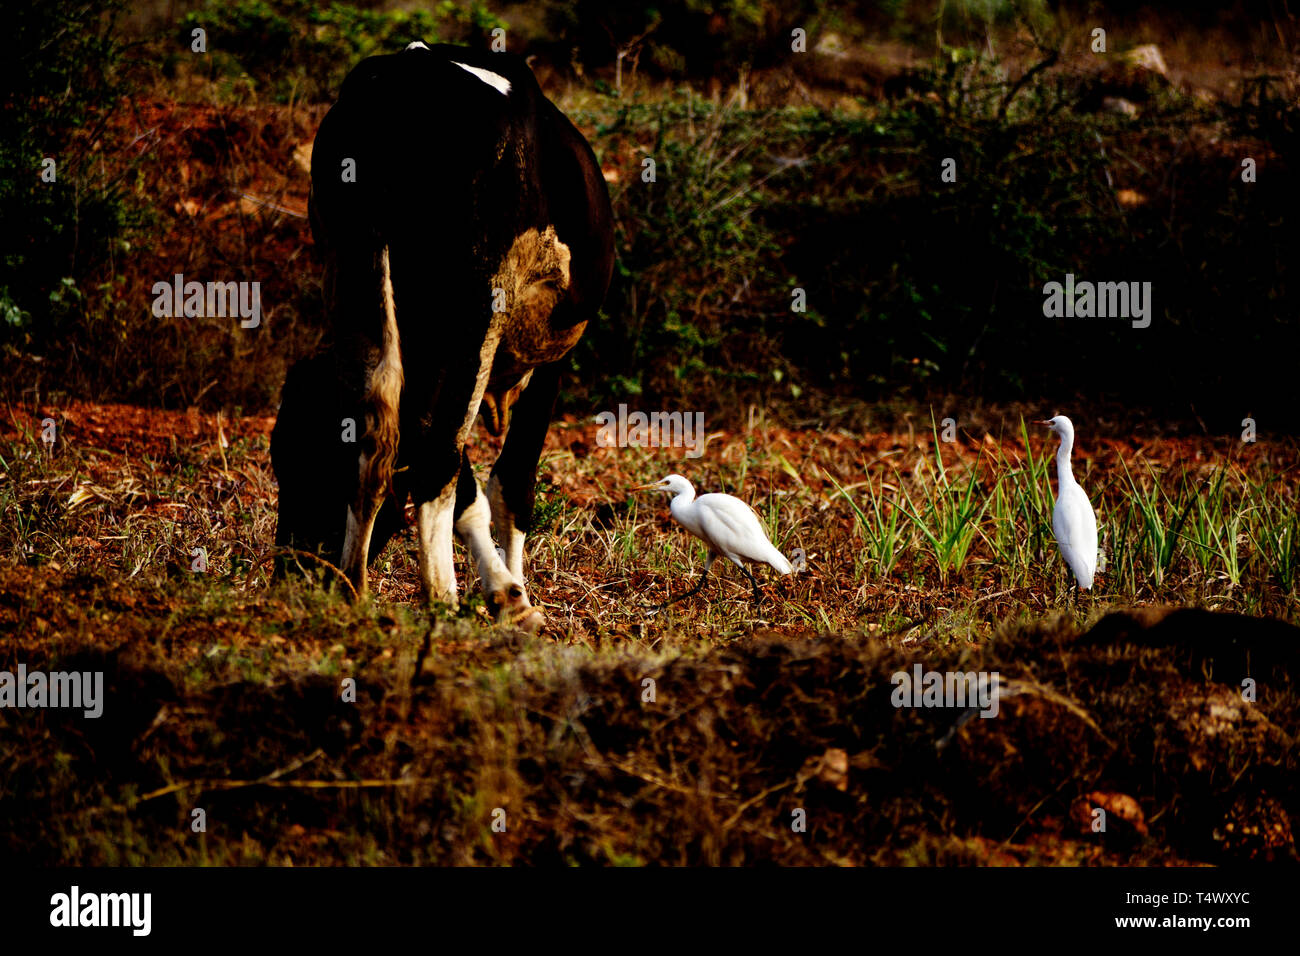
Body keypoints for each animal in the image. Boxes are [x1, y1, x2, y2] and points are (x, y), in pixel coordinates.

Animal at [271, 42, 615, 631]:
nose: (292, 574)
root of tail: (405, 79)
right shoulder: (546, 352)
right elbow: (510, 480)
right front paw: (515, 595)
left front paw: (504, 588)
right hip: (475, 306)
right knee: (438, 459)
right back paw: (441, 599)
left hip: (355, 278)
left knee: (380, 431)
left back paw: (355, 587)